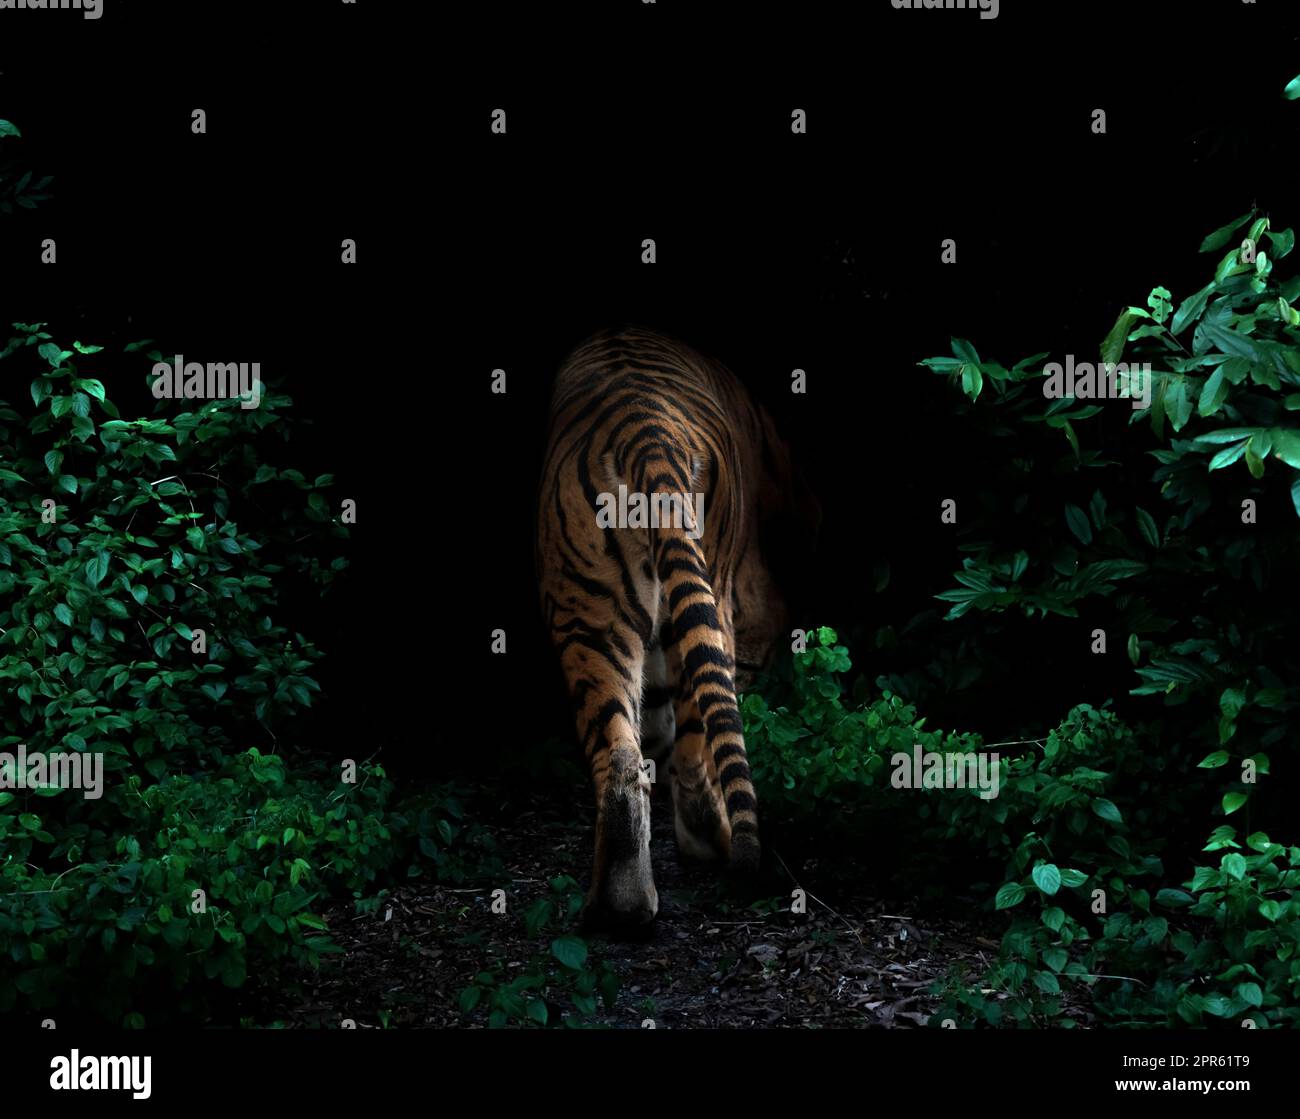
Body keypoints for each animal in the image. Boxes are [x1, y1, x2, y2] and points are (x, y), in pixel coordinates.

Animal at [536, 325, 816, 928]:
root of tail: (643, 430)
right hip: (709, 602)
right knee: (694, 746)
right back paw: (714, 844)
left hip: (587, 614)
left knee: (620, 761)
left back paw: (621, 906)